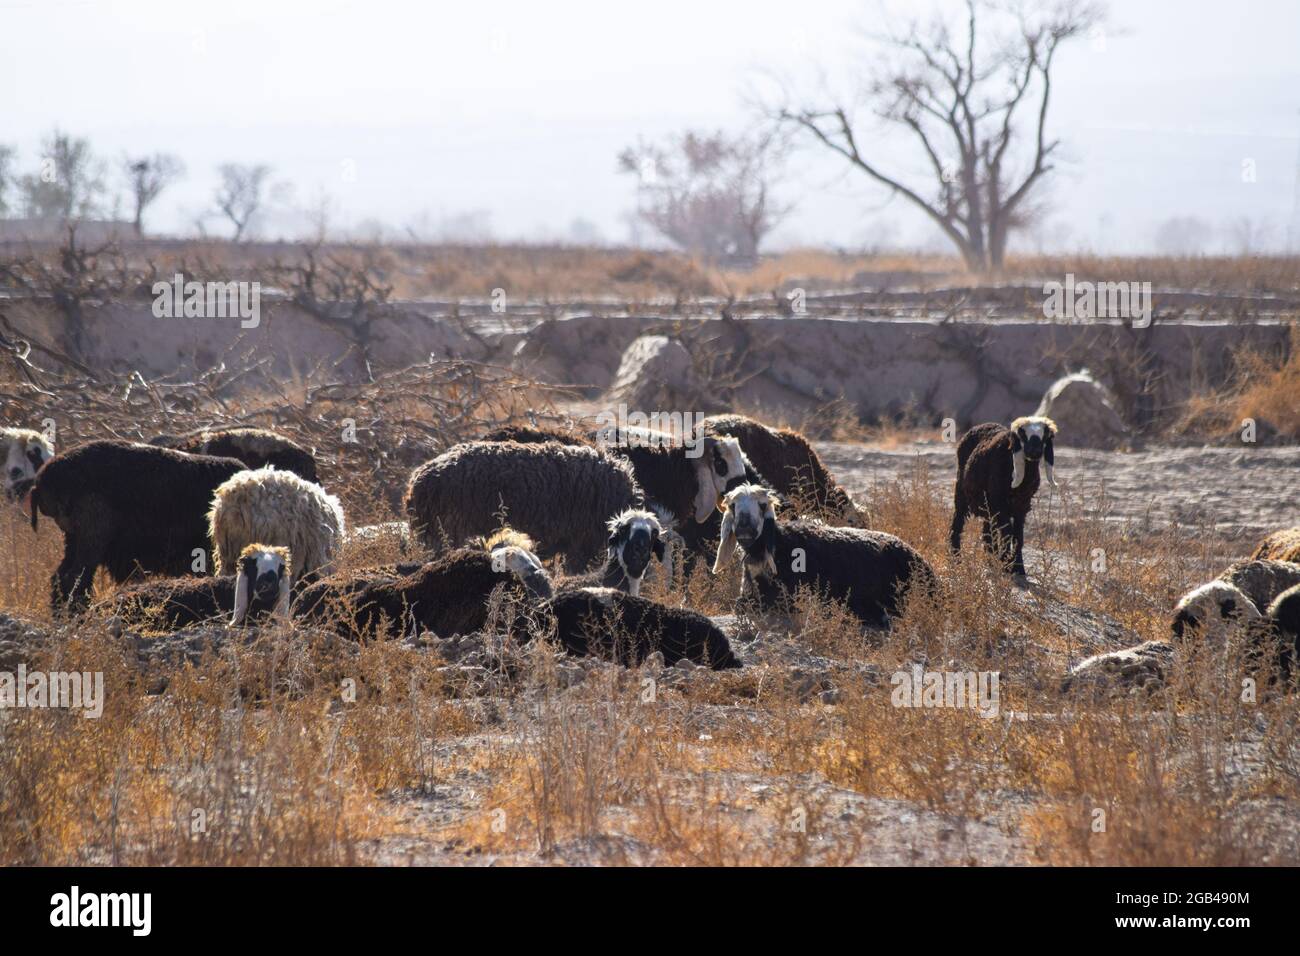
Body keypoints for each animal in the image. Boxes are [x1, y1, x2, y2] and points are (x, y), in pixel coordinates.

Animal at [949, 416, 1058, 577]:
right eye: (1022, 435)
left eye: (1044, 436)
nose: (1035, 451)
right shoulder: (1000, 504)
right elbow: (1007, 533)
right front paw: (1006, 563)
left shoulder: (1022, 505)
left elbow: (1018, 536)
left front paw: (1018, 567)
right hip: (962, 492)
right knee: (958, 522)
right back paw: (956, 558)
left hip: (988, 505)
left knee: (987, 531)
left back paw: (991, 559)